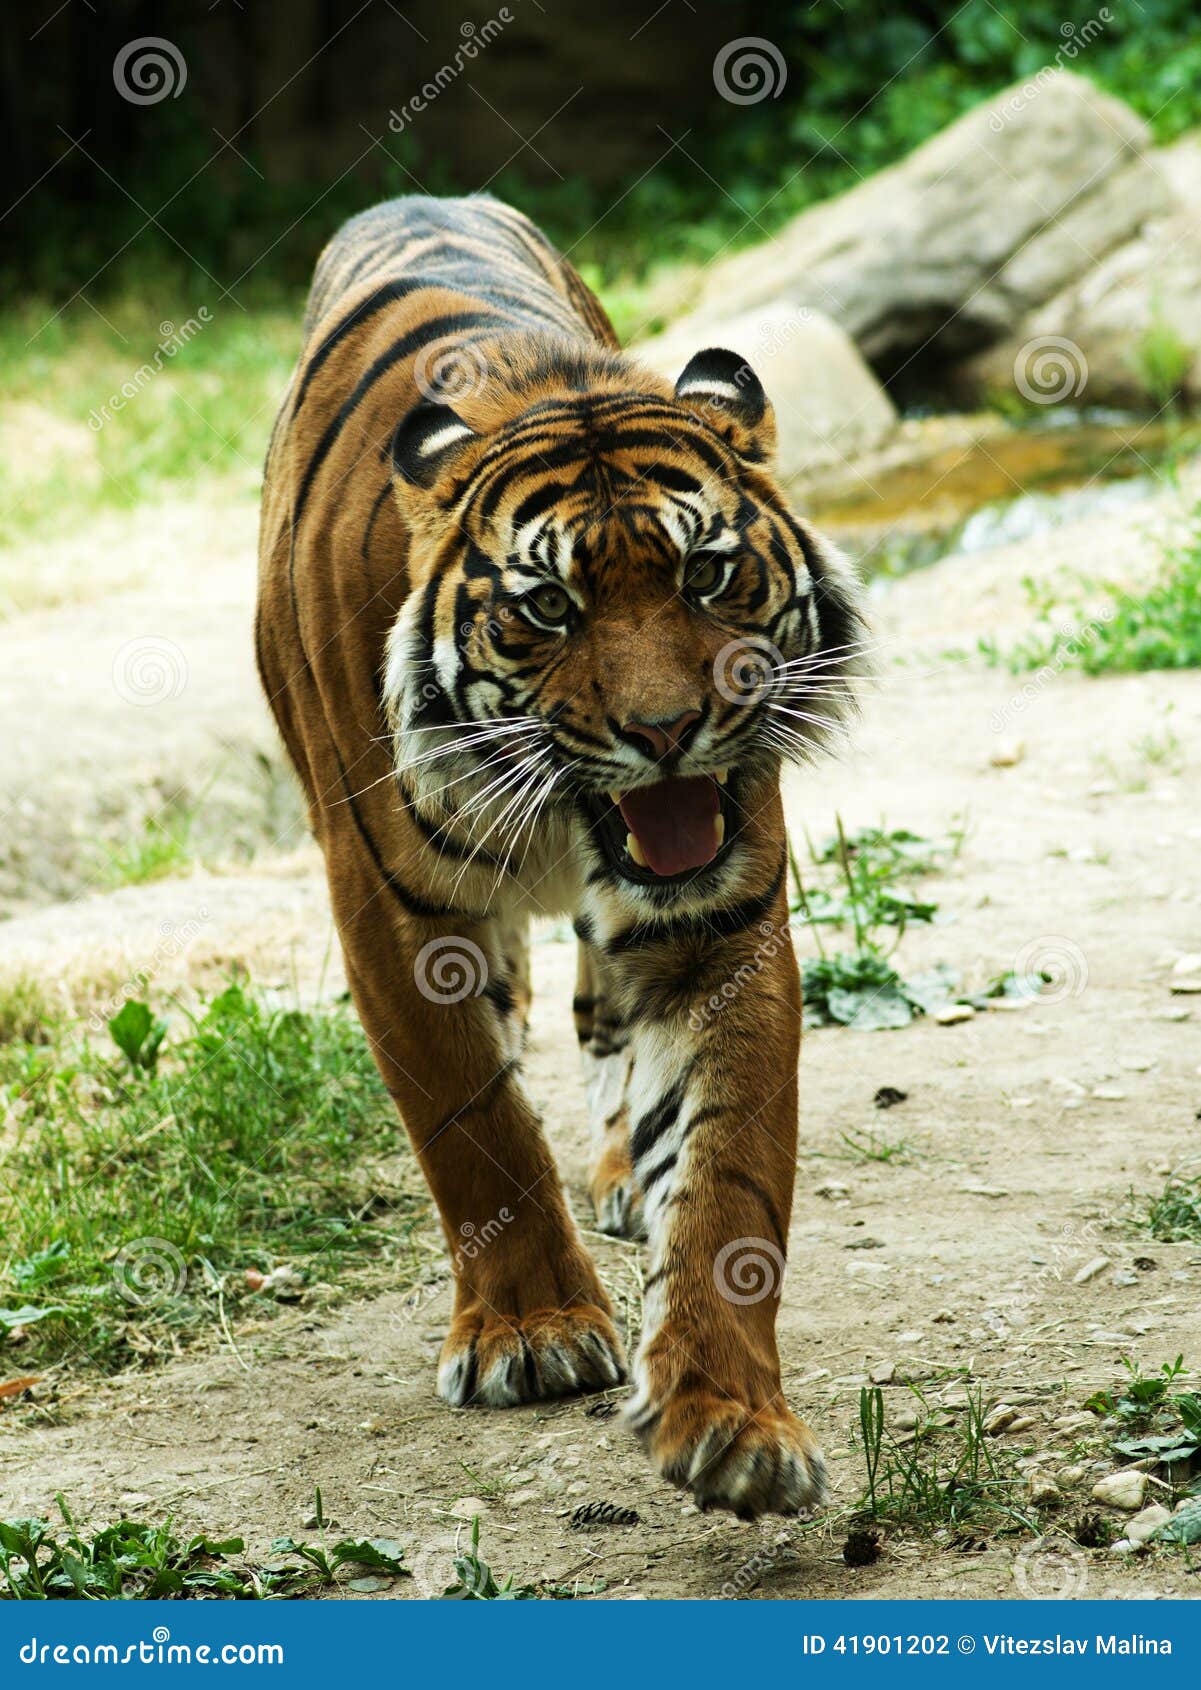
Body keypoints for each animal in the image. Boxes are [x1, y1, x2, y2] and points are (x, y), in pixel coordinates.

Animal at [256, 194, 866, 1520]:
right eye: (547, 608)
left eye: (706, 571)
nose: (665, 730)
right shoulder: (390, 909)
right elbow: (473, 1121)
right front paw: (529, 1335)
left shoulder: (720, 918)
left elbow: (732, 1170)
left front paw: (732, 1417)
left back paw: (625, 1171)